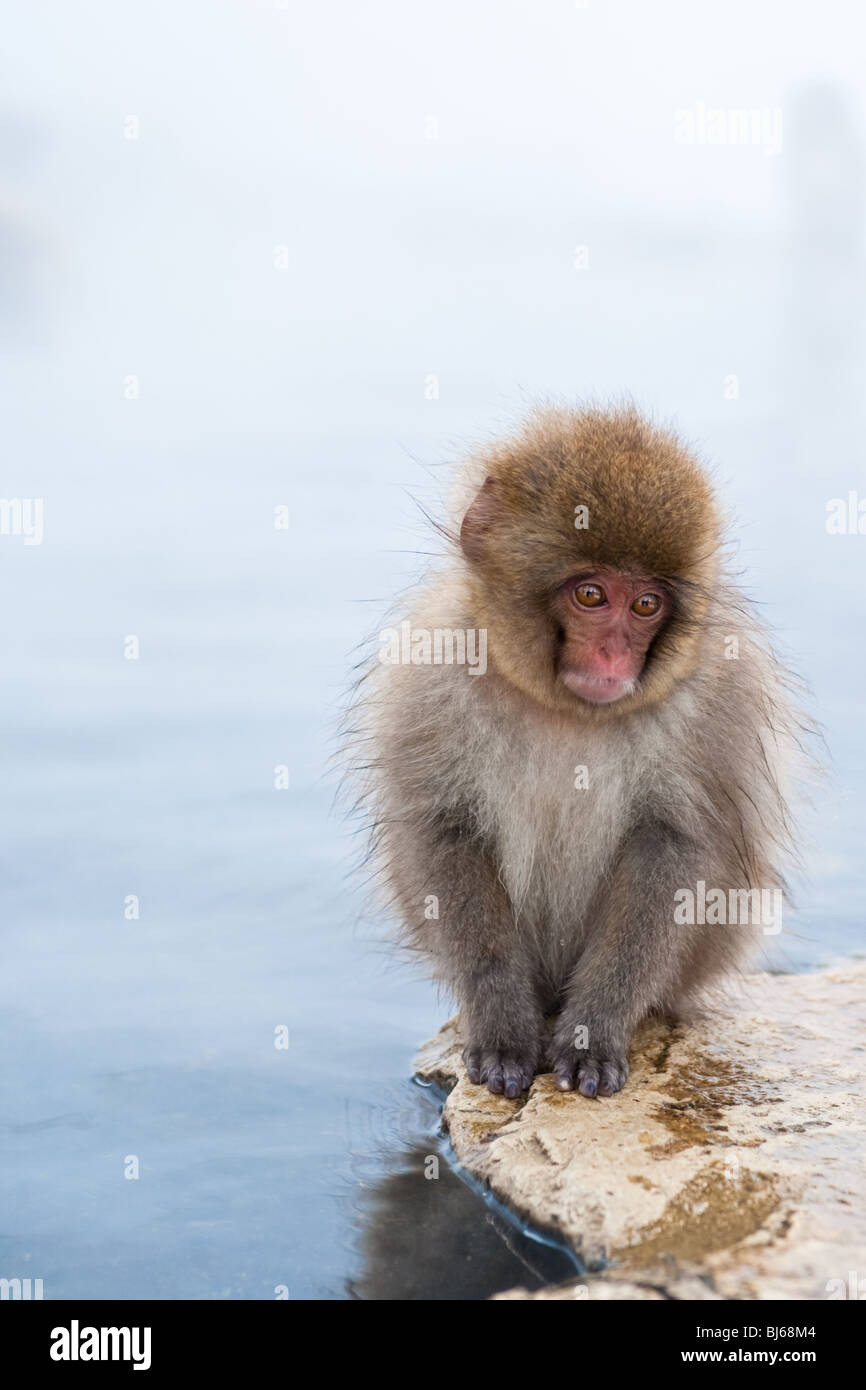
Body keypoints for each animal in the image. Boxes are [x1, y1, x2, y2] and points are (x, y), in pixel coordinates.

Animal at [348, 405, 806, 1101]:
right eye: (592, 596)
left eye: (646, 604)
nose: (614, 657)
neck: (567, 706)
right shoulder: (434, 664)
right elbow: (442, 830)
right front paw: (503, 1023)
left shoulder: (722, 691)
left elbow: (674, 847)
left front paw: (596, 1031)